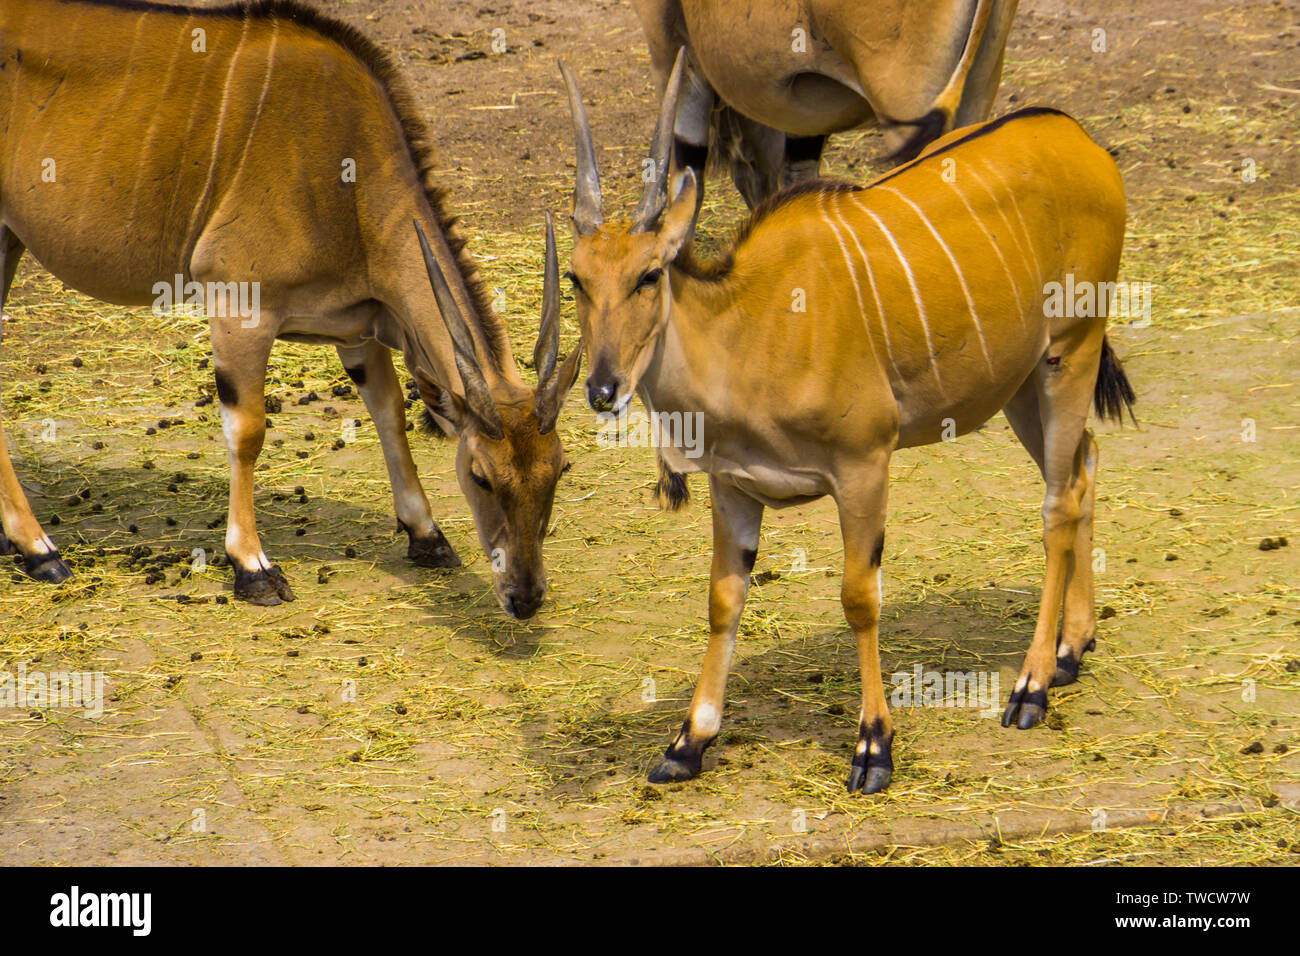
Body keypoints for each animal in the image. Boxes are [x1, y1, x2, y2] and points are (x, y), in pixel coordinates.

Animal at [0, 0, 581, 615]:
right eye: (481, 475)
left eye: (559, 468)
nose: (525, 596)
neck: (349, 176)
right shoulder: (239, 306)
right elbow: (248, 431)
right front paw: (253, 566)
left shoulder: (357, 330)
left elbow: (389, 411)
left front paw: (427, 535)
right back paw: (40, 549)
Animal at [559, 53, 1135, 793]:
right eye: (575, 279)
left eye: (648, 275)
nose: (604, 388)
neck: (750, 329)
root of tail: (1077, 139)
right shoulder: (733, 486)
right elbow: (723, 600)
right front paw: (688, 741)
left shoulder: (863, 466)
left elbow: (860, 598)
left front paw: (873, 746)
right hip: (1021, 384)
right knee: (1083, 467)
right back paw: (1071, 650)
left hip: (1072, 352)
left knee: (1057, 505)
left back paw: (1030, 686)